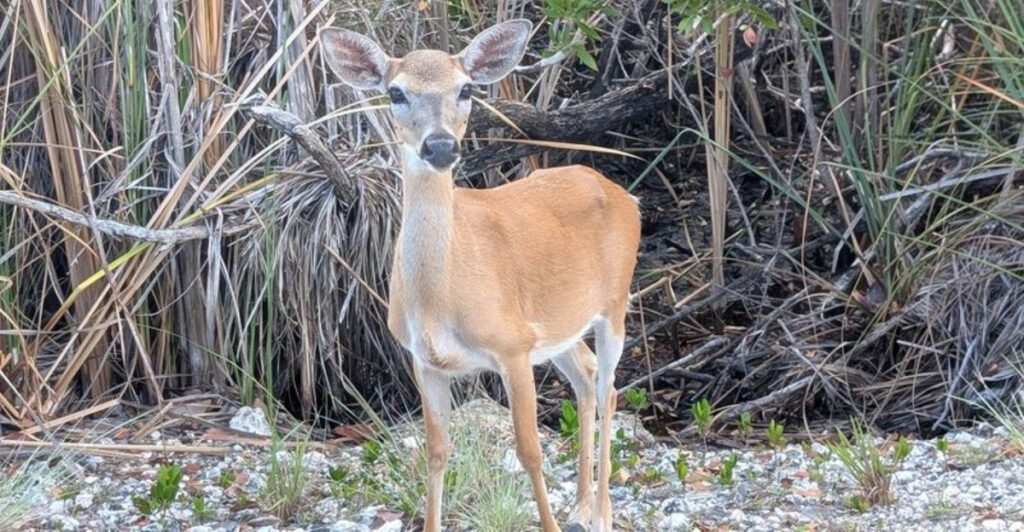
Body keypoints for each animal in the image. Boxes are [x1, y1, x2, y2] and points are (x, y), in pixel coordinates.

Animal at [320, 19, 641, 532]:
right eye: (395, 92)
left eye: (466, 88)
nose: (440, 145)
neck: (440, 299)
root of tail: (625, 195)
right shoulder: (424, 360)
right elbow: (435, 453)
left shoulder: (511, 346)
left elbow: (529, 451)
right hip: (560, 326)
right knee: (587, 374)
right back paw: (581, 505)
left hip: (615, 302)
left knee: (609, 388)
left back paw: (602, 513)